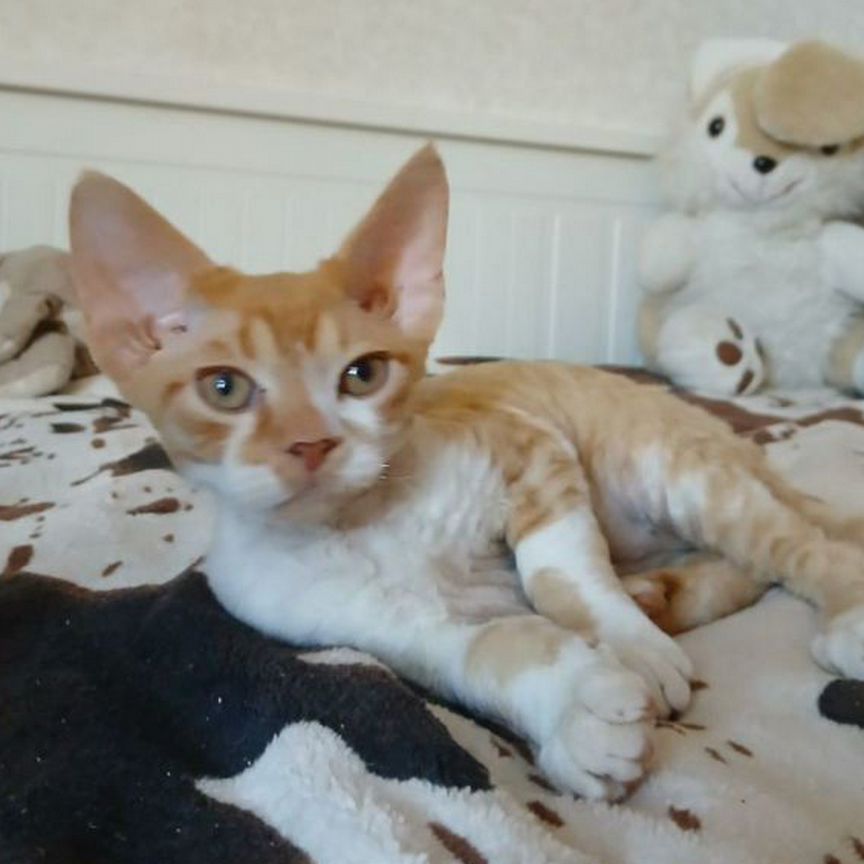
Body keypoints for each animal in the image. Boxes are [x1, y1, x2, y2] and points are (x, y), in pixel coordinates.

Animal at [68, 145, 864, 801]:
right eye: (225, 389)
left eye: (361, 375)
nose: (311, 445)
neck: (368, 522)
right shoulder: (370, 626)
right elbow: (488, 651)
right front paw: (573, 711)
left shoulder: (529, 442)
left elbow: (561, 570)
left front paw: (629, 642)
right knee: (744, 567)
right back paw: (658, 592)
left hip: (672, 467)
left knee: (794, 545)